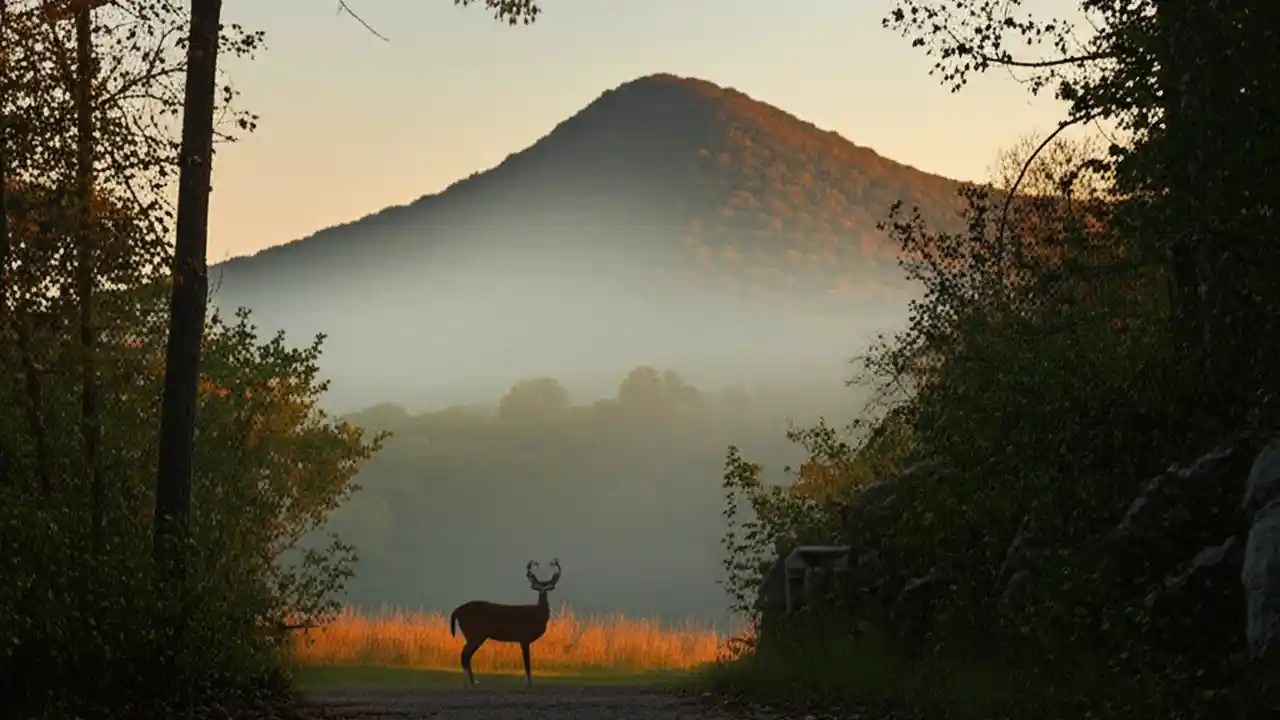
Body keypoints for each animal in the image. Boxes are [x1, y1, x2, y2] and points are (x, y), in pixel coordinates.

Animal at [449, 558, 561, 688]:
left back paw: (472, 682)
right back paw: (469, 683)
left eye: (547, 587)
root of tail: (457, 611)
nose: (543, 591)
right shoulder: (524, 637)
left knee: (466, 655)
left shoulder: (523, 639)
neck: (537, 615)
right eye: (538, 587)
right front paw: (528, 683)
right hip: (474, 633)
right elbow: (527, 661)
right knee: (465, 655)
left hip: (473, 635)